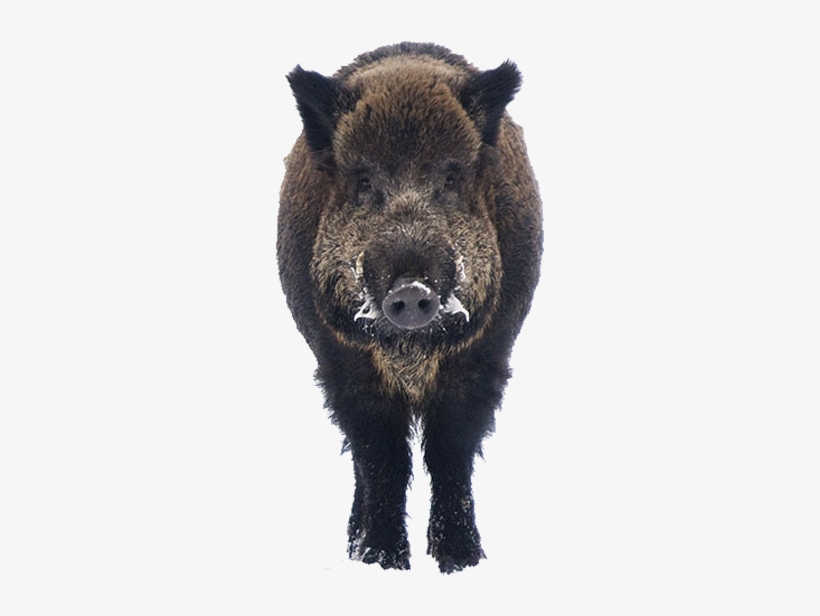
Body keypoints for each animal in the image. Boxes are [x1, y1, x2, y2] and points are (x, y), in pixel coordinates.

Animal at [277, 42, 542, 573]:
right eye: (363, 181)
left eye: (450, 177)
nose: (411, 289)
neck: (411, 353)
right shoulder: (344, 365)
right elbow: (382, 459)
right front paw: (382, 563)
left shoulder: (482, 359)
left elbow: (450, 452)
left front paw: (461, 562)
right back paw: (353, 545)